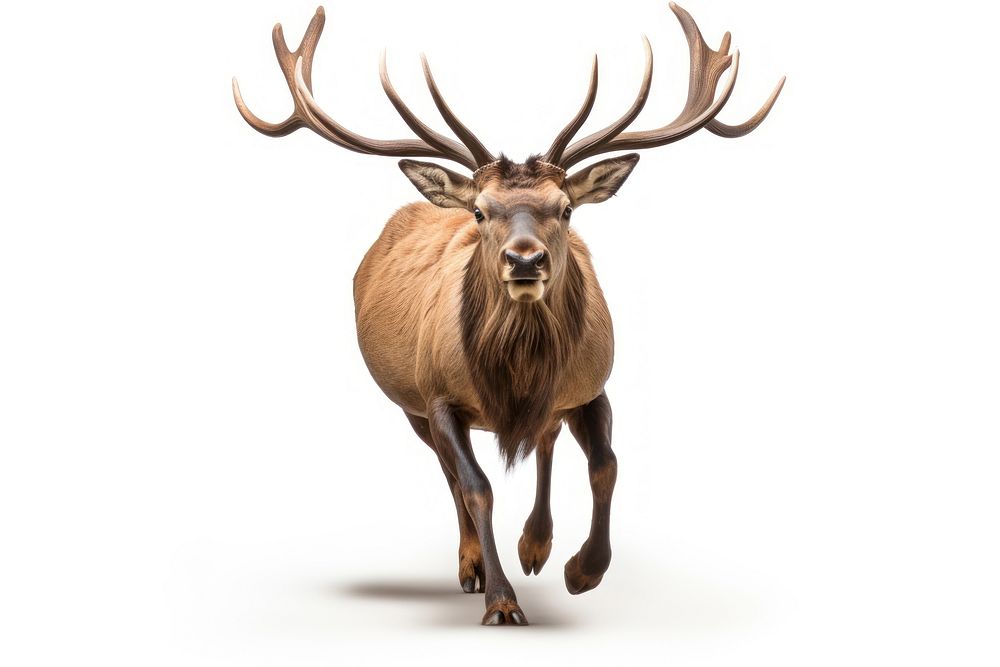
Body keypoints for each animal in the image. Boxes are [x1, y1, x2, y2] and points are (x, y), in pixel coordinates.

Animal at [233, 2, 784, 625]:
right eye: (480, 210)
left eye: (566, 208)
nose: (525, 260)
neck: (518, 375)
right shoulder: (438, 394)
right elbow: (476, 486)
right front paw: (501, 599)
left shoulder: (592, 383)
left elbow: (607, 464)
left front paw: (582, 570)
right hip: (410, 403)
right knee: (453, 475)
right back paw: (474, 564)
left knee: (544, 439)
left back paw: (536, 544)